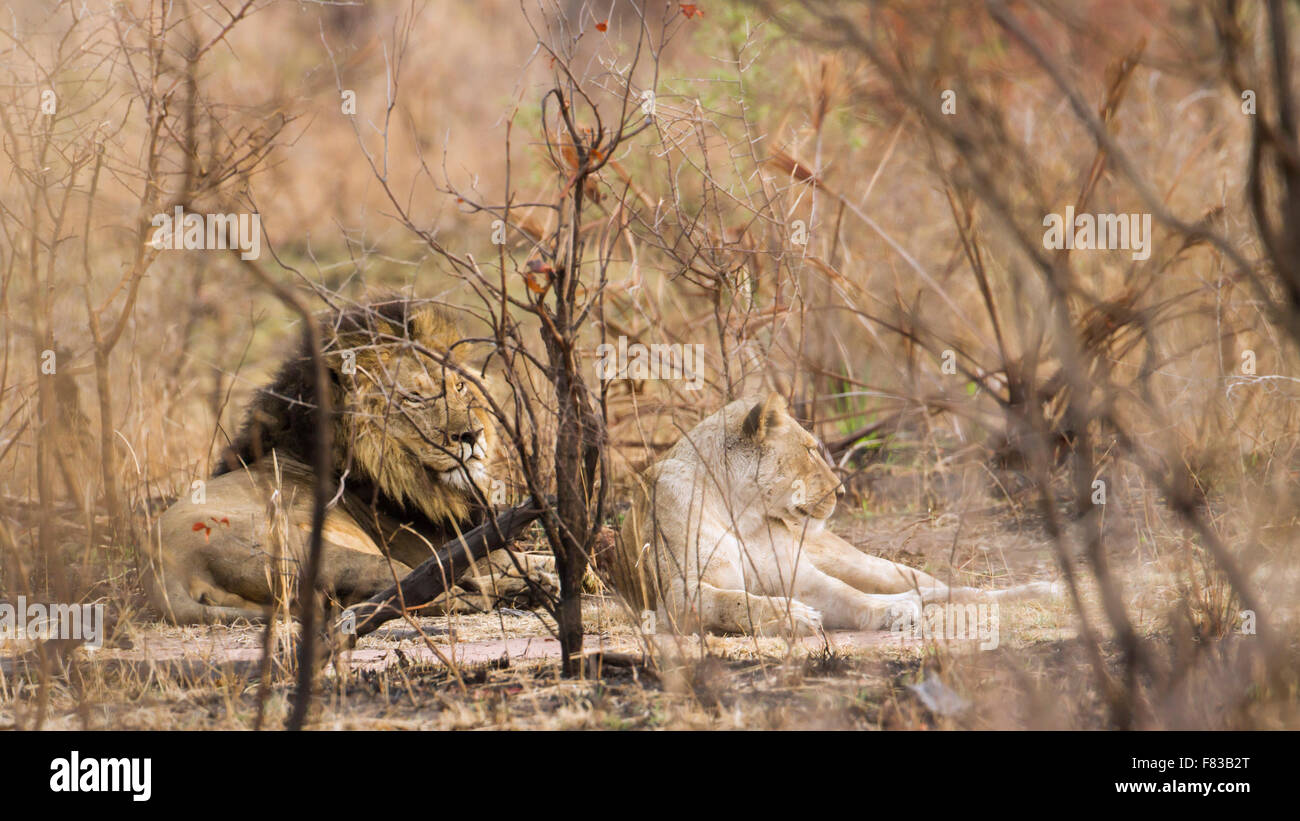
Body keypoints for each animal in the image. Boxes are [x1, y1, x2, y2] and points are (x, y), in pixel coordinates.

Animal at [146, 296, 556, 625]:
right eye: (415, 398)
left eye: (459, 387)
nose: (473, 434)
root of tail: (163, 577)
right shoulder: (439, 546)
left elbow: (538, 553)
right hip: (324, 552)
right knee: (414, 595)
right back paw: (522, 590)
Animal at [607, 393, 1057, 635]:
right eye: (809, 450)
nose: (841, 491)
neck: (741, 512)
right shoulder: (676, 596)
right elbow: (736, 601)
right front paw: (792, 615)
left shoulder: (796, 574)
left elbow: (846, 595)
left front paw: (886, 613)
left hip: (865, 563)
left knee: (948, 588)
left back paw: (1043, 591)